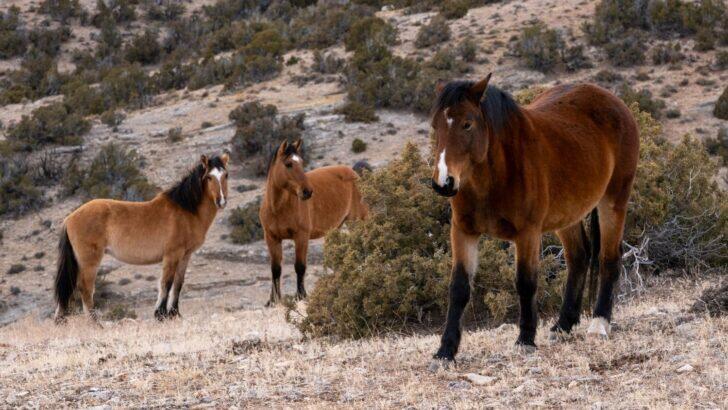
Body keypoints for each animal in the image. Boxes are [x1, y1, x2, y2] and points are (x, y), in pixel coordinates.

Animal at [54, 153, 230, 323]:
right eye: (209, 177)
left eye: (226, 175)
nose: (221, 201)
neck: (186, 210)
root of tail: (70, 218)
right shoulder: (172, 255)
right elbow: (166, 283)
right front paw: (161, 315)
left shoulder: (185, 256)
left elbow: (178, 284)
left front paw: (174, 314)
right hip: (89, 261)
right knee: (85, 288)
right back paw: (96, 324)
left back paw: (61, 321)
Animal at [259, 139, 369, 305]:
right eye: (288, 164)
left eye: (301, 162)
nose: (307, 192)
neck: (278, 208)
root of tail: (354, 173)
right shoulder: (271, 238)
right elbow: (275, 269)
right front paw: (273, 300)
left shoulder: (301, 236)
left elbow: (300, 267)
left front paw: (301, 296)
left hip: (358, 221)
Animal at [429, 74, 639, 364]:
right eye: (435, 125)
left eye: (467, 124)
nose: (444, 183)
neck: (494, 177)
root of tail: (615, 101)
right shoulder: (463, 231)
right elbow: (459, 287)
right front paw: (445, 351)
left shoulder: (527, 234)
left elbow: (526, 282)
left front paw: (525, 340)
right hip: (568, 214)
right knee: (579, 257)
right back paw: (563, 326)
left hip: (613, 201)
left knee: (608, 258)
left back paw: (599, 324)